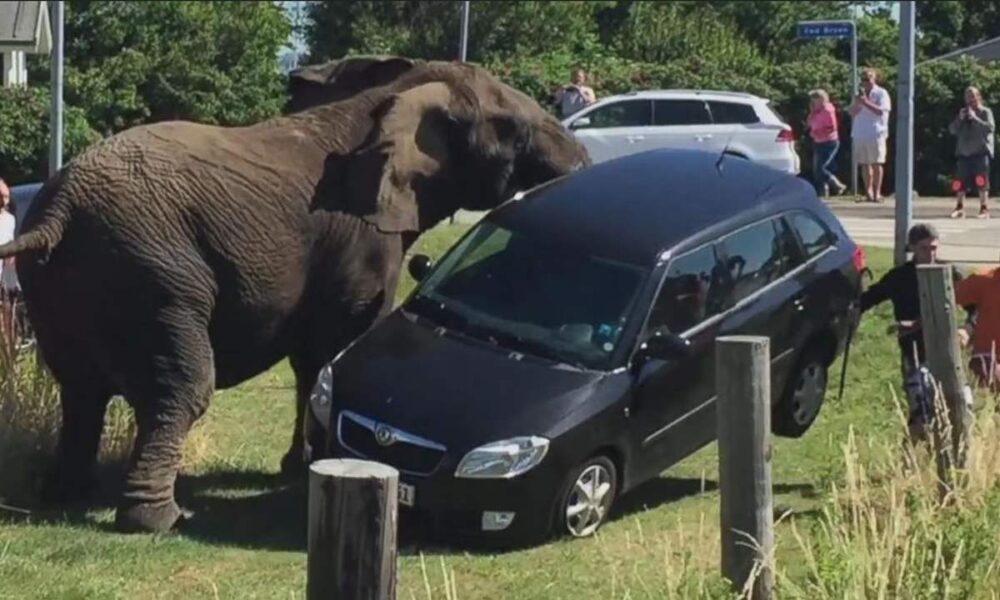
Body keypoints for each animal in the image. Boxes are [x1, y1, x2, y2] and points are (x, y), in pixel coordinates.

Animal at [0, 56, 590, 533]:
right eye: (513, 129)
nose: (585, 162)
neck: (395, 93)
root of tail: (57, 212)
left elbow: (314, 358)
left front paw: (297, 465)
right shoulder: (360, 238)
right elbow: (335, 345)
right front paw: (305, 468)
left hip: (59, 285)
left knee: (80, 390)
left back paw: (68, 496)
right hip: (154, 274)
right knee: (182, 389)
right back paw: (159, 519)